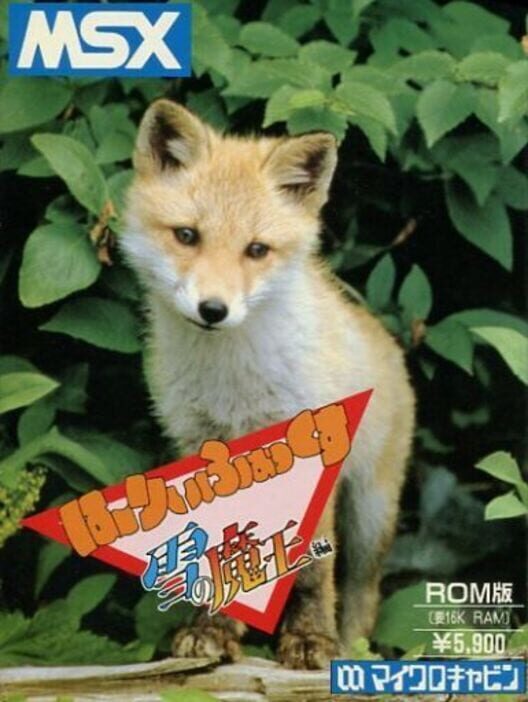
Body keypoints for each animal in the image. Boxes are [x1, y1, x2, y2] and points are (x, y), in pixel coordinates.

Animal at [121, 99, 415, 670]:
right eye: (187, 236)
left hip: (371, 514)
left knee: (363, 593)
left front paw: (310, 640)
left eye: (256, 250)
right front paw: (211, 632)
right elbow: (220, 558)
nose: (213, 310)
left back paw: (350, 650)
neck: (233, 380)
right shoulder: (205, 455)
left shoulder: (316, 453)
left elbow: (313, 571)